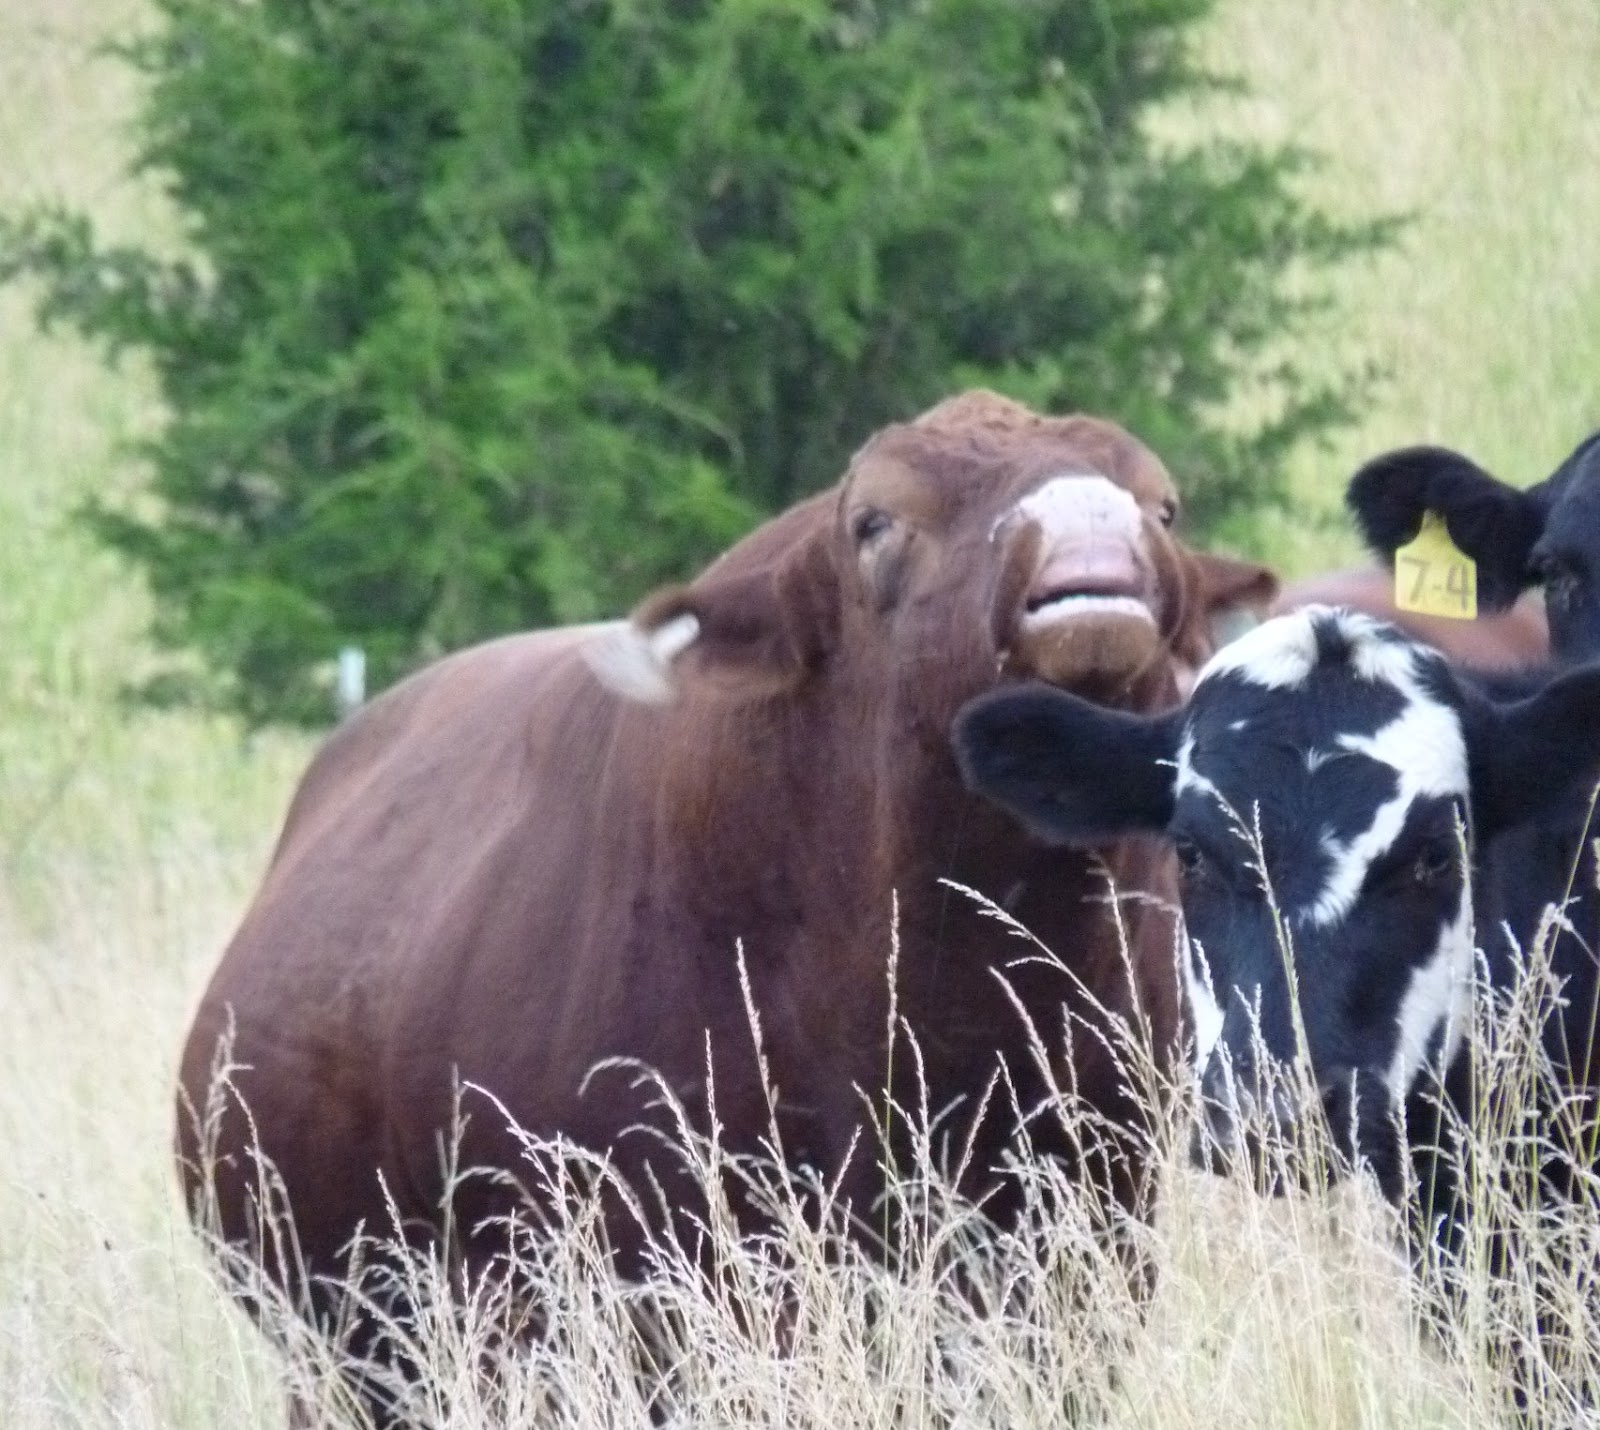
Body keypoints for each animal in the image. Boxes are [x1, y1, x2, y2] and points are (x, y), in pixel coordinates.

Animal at [176, 390, 1278, 1422]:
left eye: (1162, 506)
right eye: (875, 520)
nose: (1091, 533)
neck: (937, 996)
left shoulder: (1072, 1270)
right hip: (341, 1357)